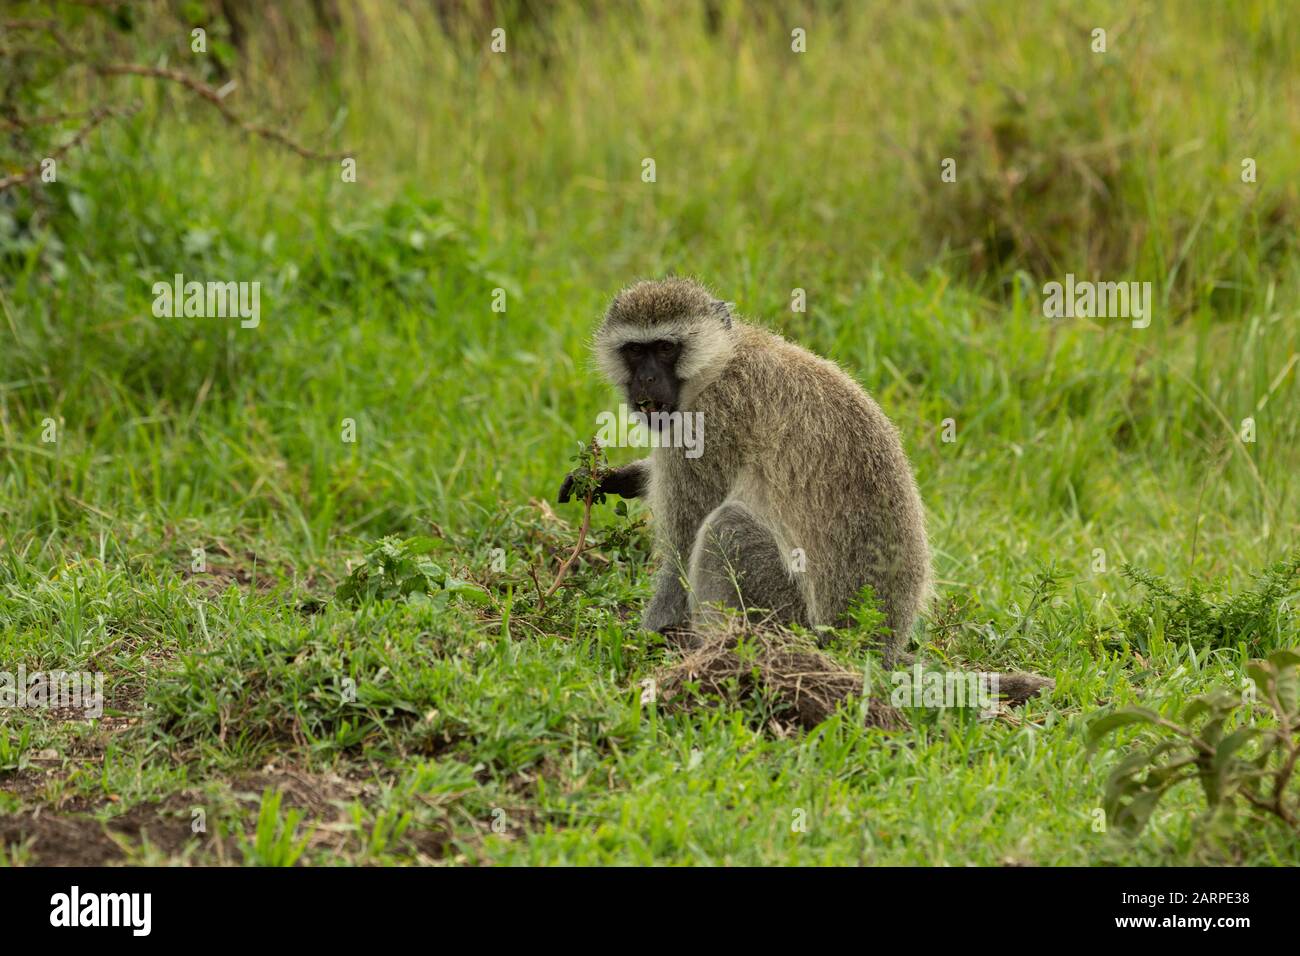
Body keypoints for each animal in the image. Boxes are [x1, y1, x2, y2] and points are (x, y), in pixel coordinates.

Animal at [558, 277, 932, 666]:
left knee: (727, 527)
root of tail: (870, 646)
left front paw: (643, 641)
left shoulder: (706, 427)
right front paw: (620, 477)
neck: (719, 365)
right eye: (634, 350)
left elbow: (682, 551)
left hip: (789, 617)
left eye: (664, 348)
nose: (646, 378)